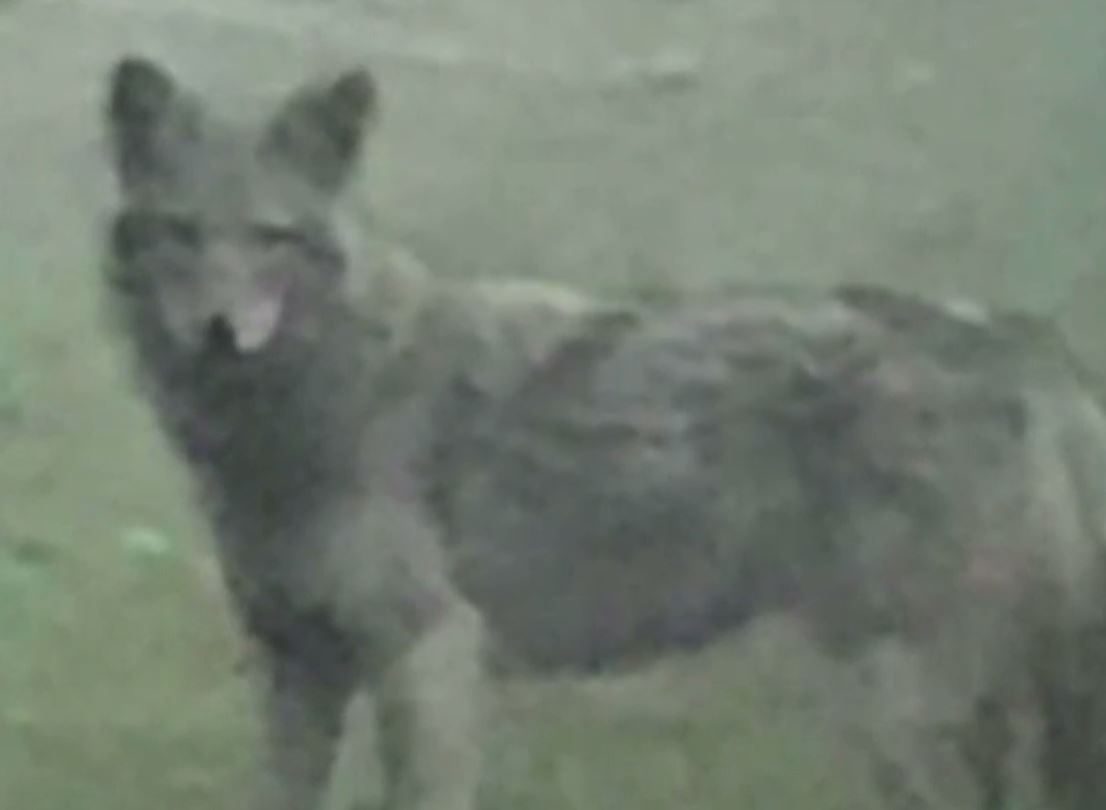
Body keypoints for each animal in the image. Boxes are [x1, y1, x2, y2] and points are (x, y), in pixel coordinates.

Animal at [100, 55, 1106, 810]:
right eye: (181, 233)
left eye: (269, 237)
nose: (216, 334)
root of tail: (1020, 336)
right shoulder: (297, 670)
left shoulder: (430, 661)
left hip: (902, 713)